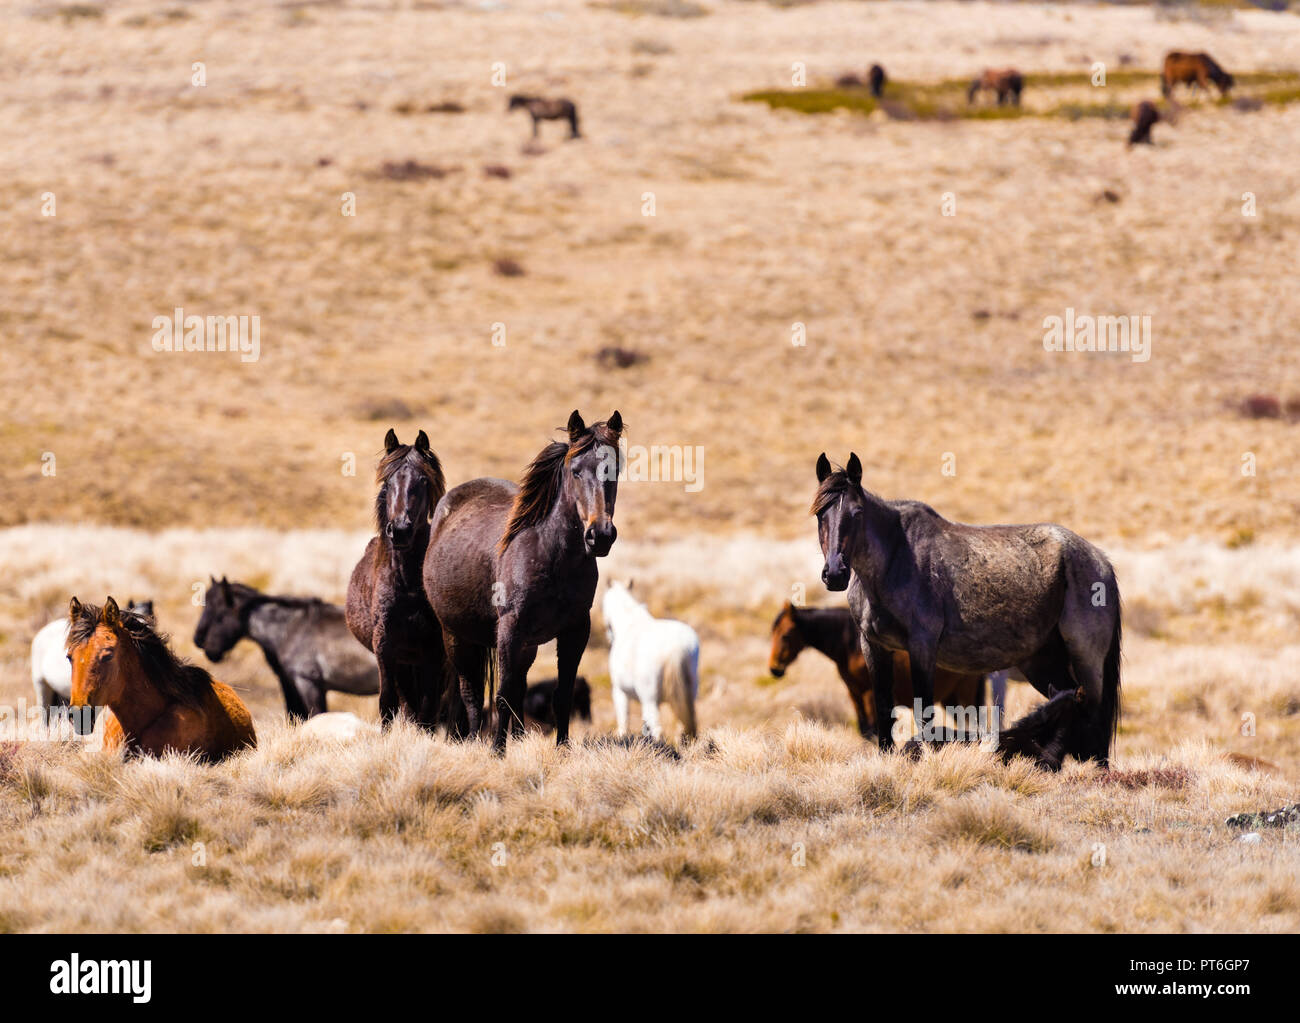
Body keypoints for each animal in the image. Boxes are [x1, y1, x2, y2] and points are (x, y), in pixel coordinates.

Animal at [345, 429, 448, 729]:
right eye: (388, 481)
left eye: (423, 480)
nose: (400, 530)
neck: (407, 584)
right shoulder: (385, 648)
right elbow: (388, 704)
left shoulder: (434, 652)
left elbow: (429, 710)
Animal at [423, 410, 623, 753]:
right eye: (575, 472)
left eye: (615, 471)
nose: (600, 536)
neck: (551, 554)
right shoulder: (509, 628)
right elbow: (501, 697)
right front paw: (496, 753)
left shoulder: (575, 630)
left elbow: (561, 695)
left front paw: (561, 750)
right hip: (457, 636)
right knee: (470, 694)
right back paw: (474, 741)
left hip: (525, 646)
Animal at [602, 581, 699, 742]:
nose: (609, 635)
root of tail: (676, 647)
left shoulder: (619, 692)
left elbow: (624, 722)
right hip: (689, 695)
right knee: (681, 729)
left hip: (649, 699)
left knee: (657, 729)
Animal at [767, 602, 986, 739]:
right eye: (772, 634)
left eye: (786, 635)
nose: (774, 669)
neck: (852, 646)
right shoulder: (854, 693)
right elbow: (865, 729)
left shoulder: (869, 693)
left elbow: (874, 729)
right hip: (950, 698)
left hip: (964, 695)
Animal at [811, 453, 1122, 769]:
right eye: (820, 514)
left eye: (857, 512)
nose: (835, 574)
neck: (895, 560)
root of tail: (1100, 562)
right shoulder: (873, 646)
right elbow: (884, 708)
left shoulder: (922, 647)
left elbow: (923, 710)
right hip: (1043, 662)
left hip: (1086, 659)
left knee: (1094, 714)